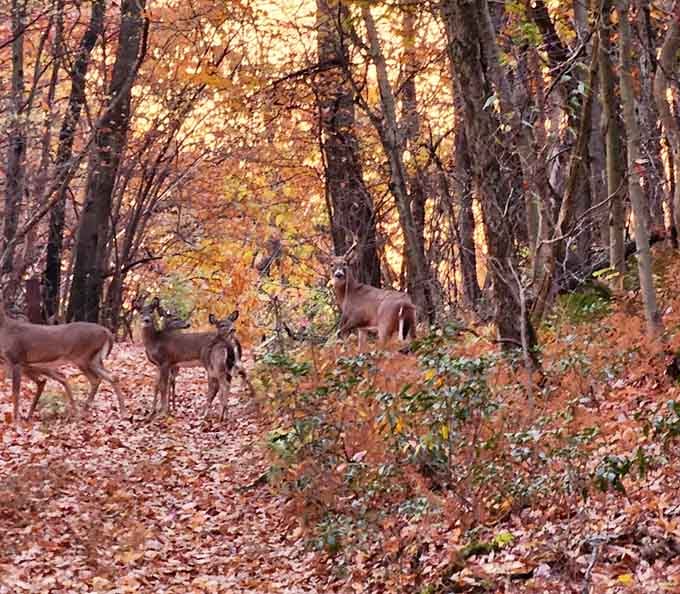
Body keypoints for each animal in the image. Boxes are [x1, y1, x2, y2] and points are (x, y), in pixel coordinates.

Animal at [0, 295, 127, 424]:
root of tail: (106, 332)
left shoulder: (16, 359)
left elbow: (15, 392)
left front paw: (16, 422)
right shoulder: (13, 363)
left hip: (82, 357)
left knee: (95, 379)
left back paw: (84, 411)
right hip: (94, 360)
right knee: (111, 377)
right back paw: (118, 411)